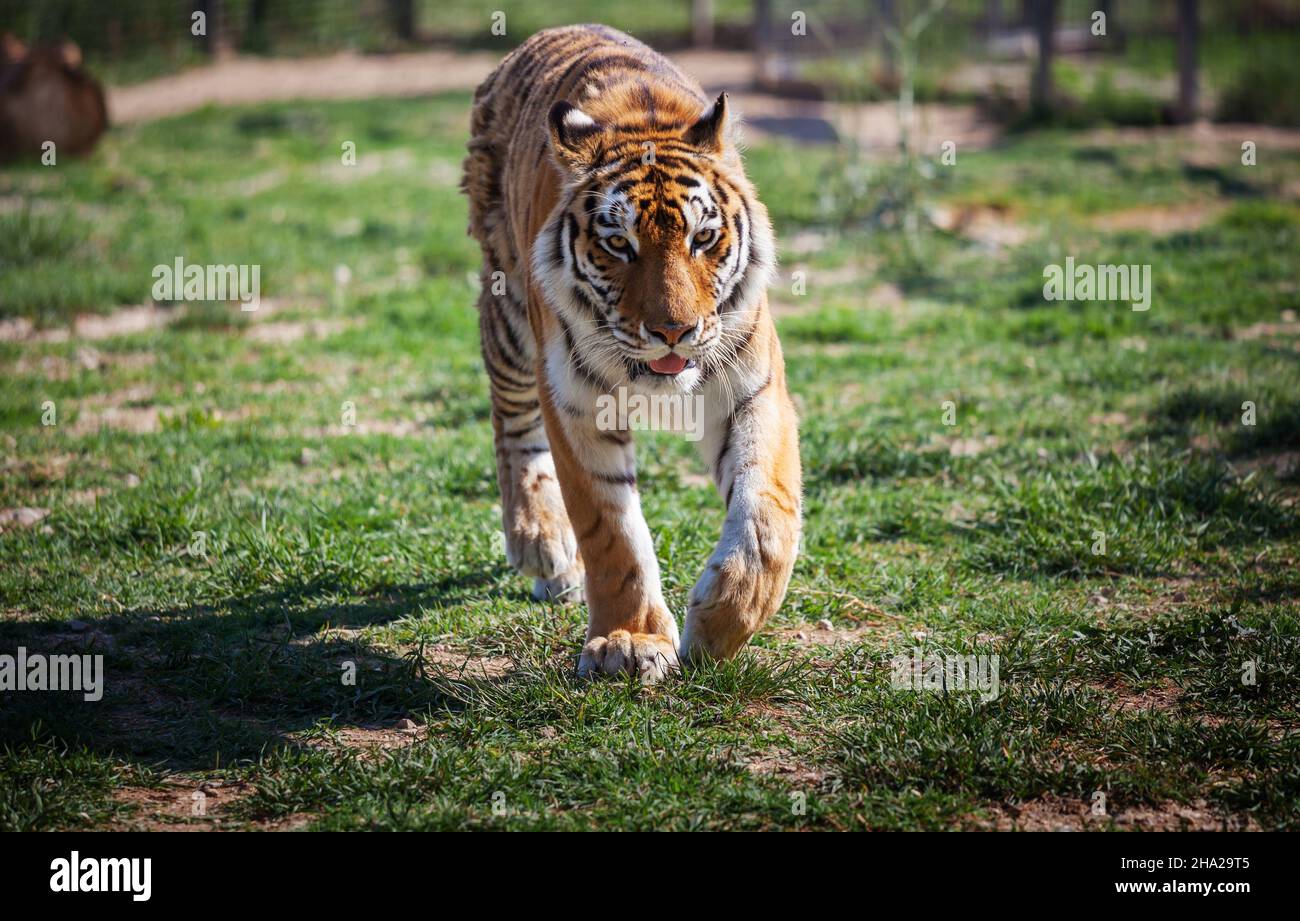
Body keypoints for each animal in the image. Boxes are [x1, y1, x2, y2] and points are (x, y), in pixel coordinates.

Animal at [461, 24, 801, 683]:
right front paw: (629, 642)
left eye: (703, 237)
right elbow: (610, 531)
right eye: (619, 244)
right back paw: (541, 544)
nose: (674, 331)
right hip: (508, 315)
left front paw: (719, 624)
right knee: (510, 422)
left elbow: (767, 520)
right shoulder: (575, 405)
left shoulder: (753, 392)